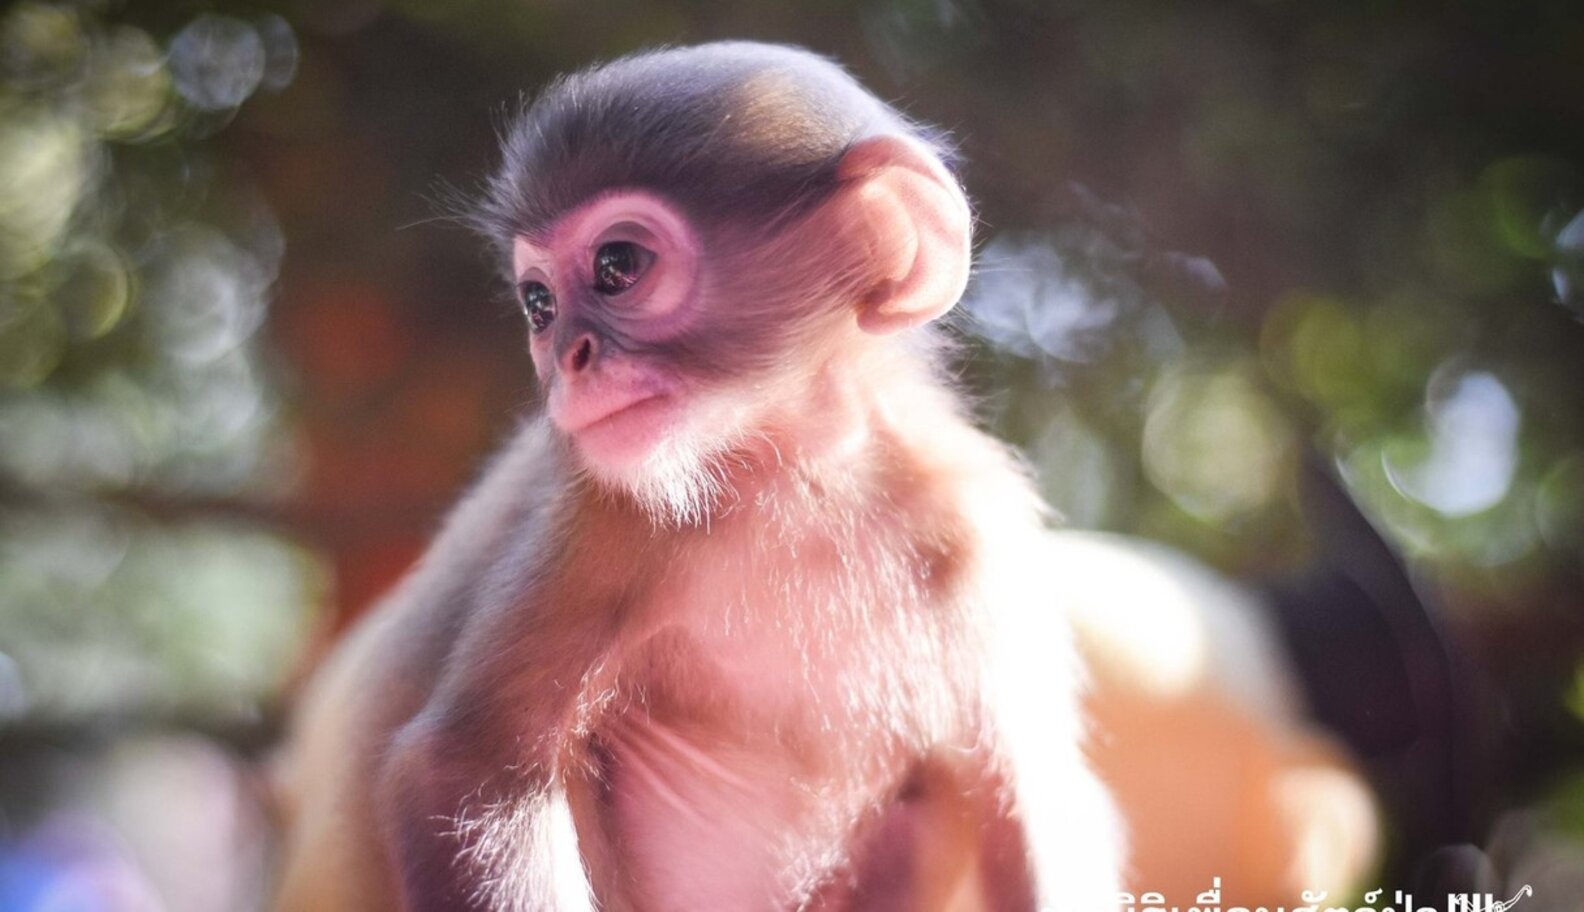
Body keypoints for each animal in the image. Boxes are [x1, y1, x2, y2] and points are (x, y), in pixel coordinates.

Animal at [270, 41, 1124, 911]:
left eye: (618, 265)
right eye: (539, 304)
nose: (568, 357)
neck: (800, 482)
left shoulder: (978, 530)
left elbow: (1026, 807)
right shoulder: (608, 515)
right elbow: (463, 770)